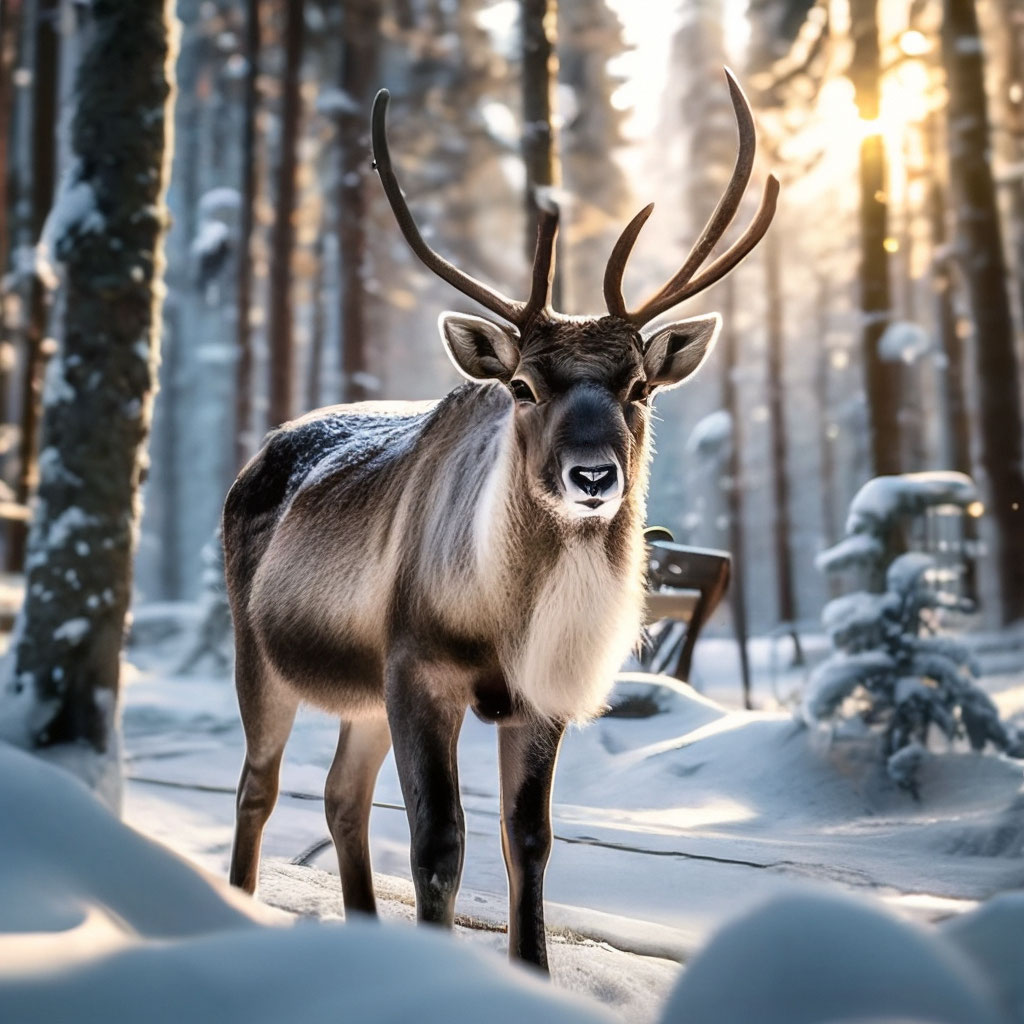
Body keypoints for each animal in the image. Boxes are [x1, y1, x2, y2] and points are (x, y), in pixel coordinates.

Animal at [223, 68, 777, 970]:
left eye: (639, 387)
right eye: (522, 385)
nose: (594, 475)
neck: (501, 621)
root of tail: (256, 454)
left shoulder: (537, 697)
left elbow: (530, 844)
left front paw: (533, 968)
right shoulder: (419, 670)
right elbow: (438, 844)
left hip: (364, 694)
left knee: (342, 796)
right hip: (258, 651)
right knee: (259, 786)